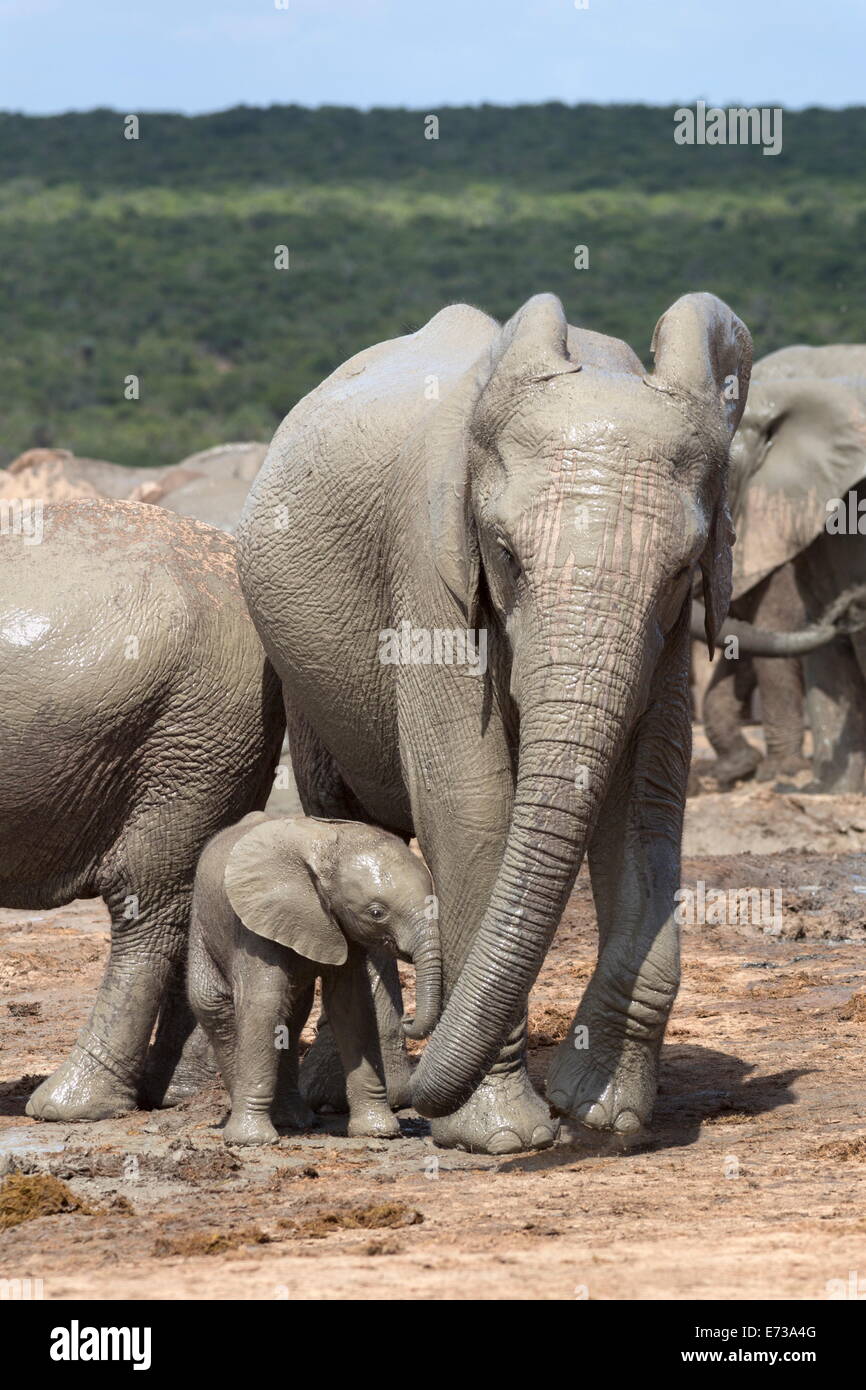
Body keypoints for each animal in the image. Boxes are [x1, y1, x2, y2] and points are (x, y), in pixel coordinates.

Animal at [188, 812, 439, 1145]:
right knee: (215, 1005)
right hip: (202, 922)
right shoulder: (255, 924)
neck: (328, 847)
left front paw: (378, 1132)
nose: (408, 1020)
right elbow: (263, 1005)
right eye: (376, 913)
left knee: (292, 1017)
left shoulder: (342, 926)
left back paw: (294, 1120)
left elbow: (351, 1005)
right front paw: (251, 1141)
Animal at [235, 290, 753, 1154]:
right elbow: (472, 803)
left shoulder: (672, 631)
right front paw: (503, 1138)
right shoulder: (428, 567)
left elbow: (646, 801)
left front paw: (602, 1112)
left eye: (683, 568)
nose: (420, 1062)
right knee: (339, 810)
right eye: (506, 552)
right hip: (299, 672)